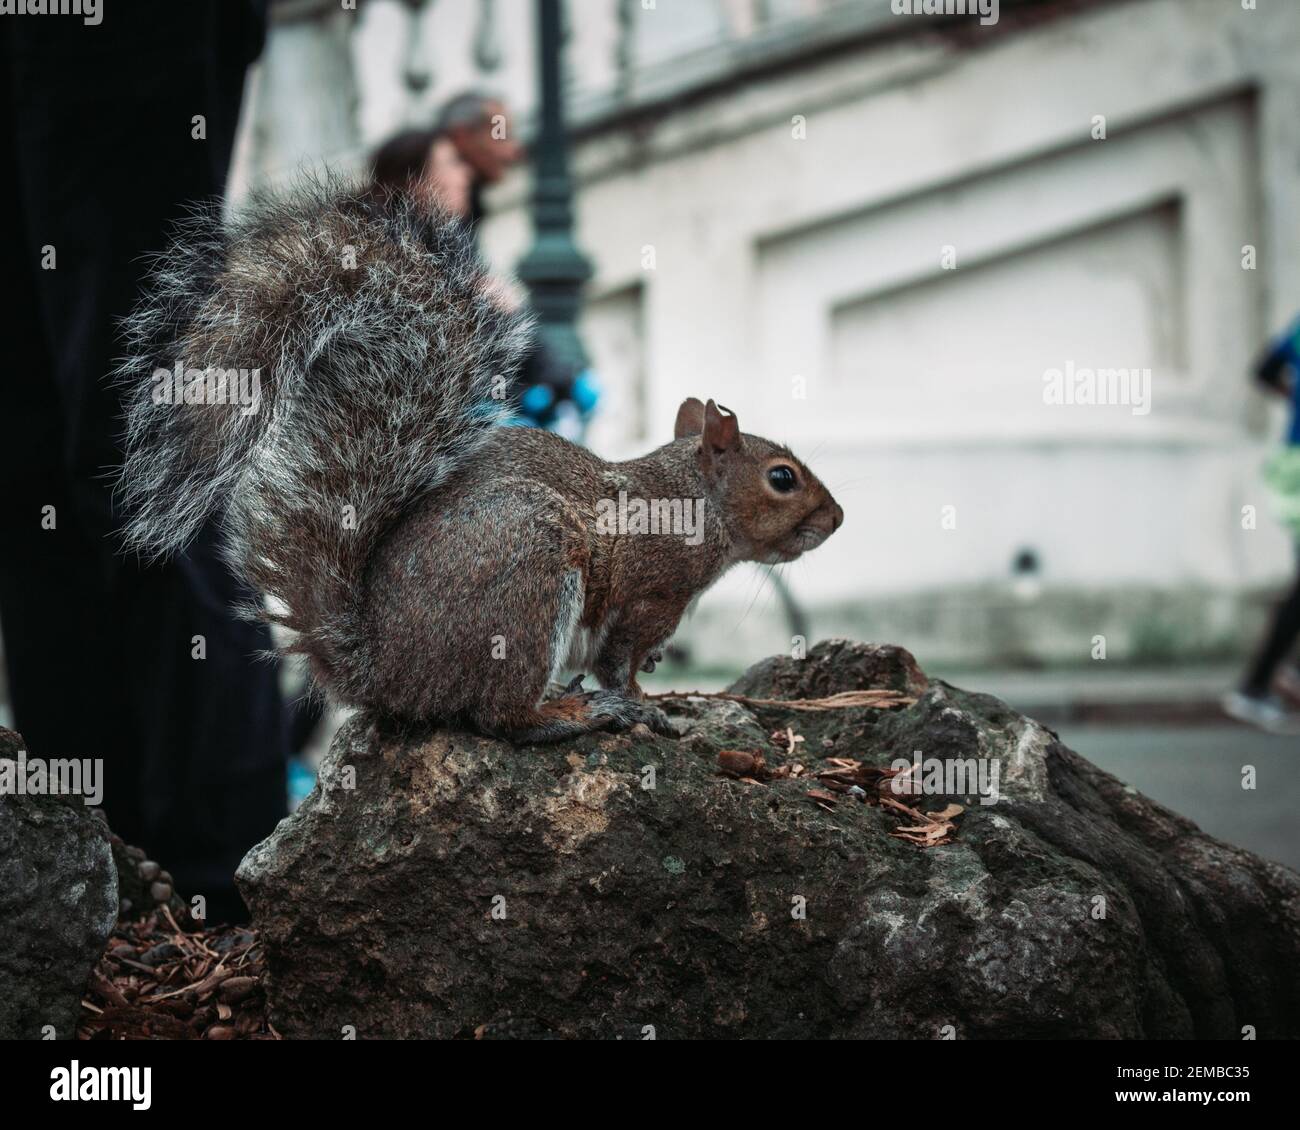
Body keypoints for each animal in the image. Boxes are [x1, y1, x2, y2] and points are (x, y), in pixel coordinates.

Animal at [115, 180, 843, 743]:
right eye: (782, 478)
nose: (837, 520)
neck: (693, 497)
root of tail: (382, 670)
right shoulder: (648, 593)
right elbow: (621, 663)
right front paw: (644, 705)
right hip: (531, 572)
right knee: (500, 716)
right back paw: (570, 714)